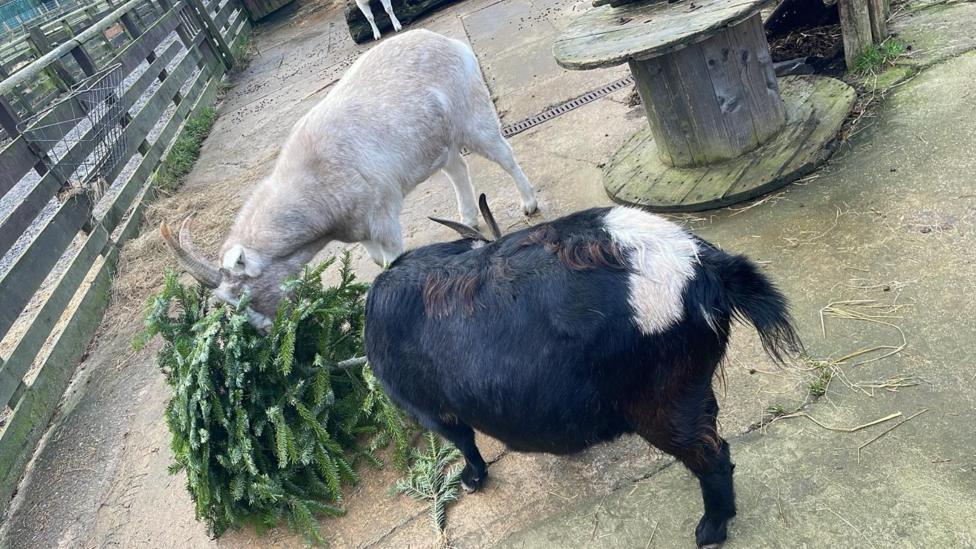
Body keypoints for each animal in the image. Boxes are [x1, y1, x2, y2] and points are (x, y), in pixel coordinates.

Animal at [161, 30, 537, 323]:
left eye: (244, 296)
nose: (269, 331)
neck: (314, 178)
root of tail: (451, 43)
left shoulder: (383, 220)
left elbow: (393, 260)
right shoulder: (359, 230)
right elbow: (375, 260)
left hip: (473, 116)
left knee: (504, 154)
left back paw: (529, 204)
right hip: (438, 143)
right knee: (456, 167)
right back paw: (468, 218)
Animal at [364, 196, 801, 548]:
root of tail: (700, 263)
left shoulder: (430, 409)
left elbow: (464, 441)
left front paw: (473, 478)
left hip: (662, 403)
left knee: (713, 457)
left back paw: (710, 529)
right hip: (692, 387)